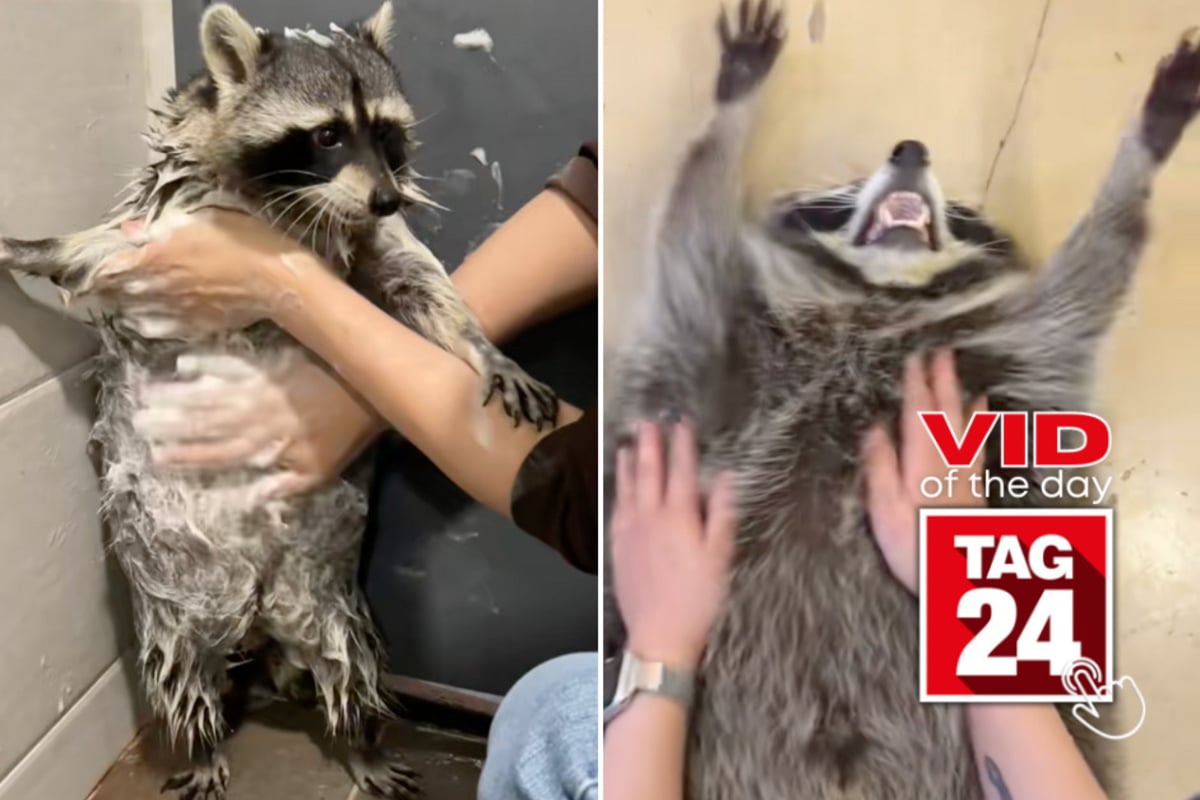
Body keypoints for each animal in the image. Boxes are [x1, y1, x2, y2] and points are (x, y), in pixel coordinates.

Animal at [0, 3, 557, 798]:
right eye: (326, 134)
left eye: (384, 131)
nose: (389, 195)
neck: (280, 200)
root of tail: (258, 612)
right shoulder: (164, 212)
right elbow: (99, 247)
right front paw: (32, 247)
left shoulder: (363, 232)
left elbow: (415, 277)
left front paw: (482, 345)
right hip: (173, 607)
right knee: (179, 672)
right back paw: (201, 742)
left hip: (331, 605)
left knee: (350, 668)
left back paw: (358, 739)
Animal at [605, 3, 1200, 798]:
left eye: (965, 215)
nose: (913, 149)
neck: (879, 298)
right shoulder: (720, 331)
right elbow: (689, 219)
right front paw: (730, 110)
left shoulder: (1024, 342)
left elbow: (1099, 263)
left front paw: (1142, 153)